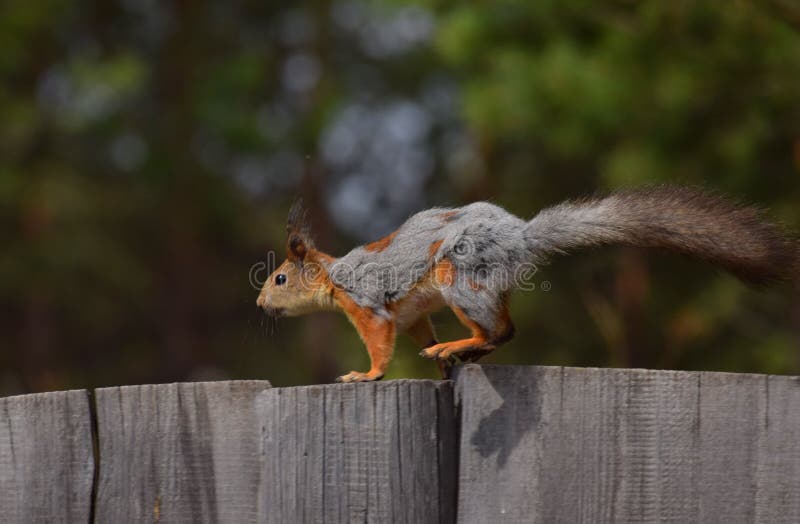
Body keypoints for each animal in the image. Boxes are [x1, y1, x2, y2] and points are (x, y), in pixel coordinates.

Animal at [256, 186, 799, 383]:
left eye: (280, 277)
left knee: (502, 332)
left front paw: (365, 375)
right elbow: (416, 332)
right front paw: (433, 362)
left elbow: (378, 347)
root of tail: (520, 237)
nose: (260, 303)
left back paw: (460, 346)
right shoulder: (410, 315)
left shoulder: (367, 306)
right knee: (503, 331)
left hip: (462, 280)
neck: (334, 277)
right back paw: (458, 352)